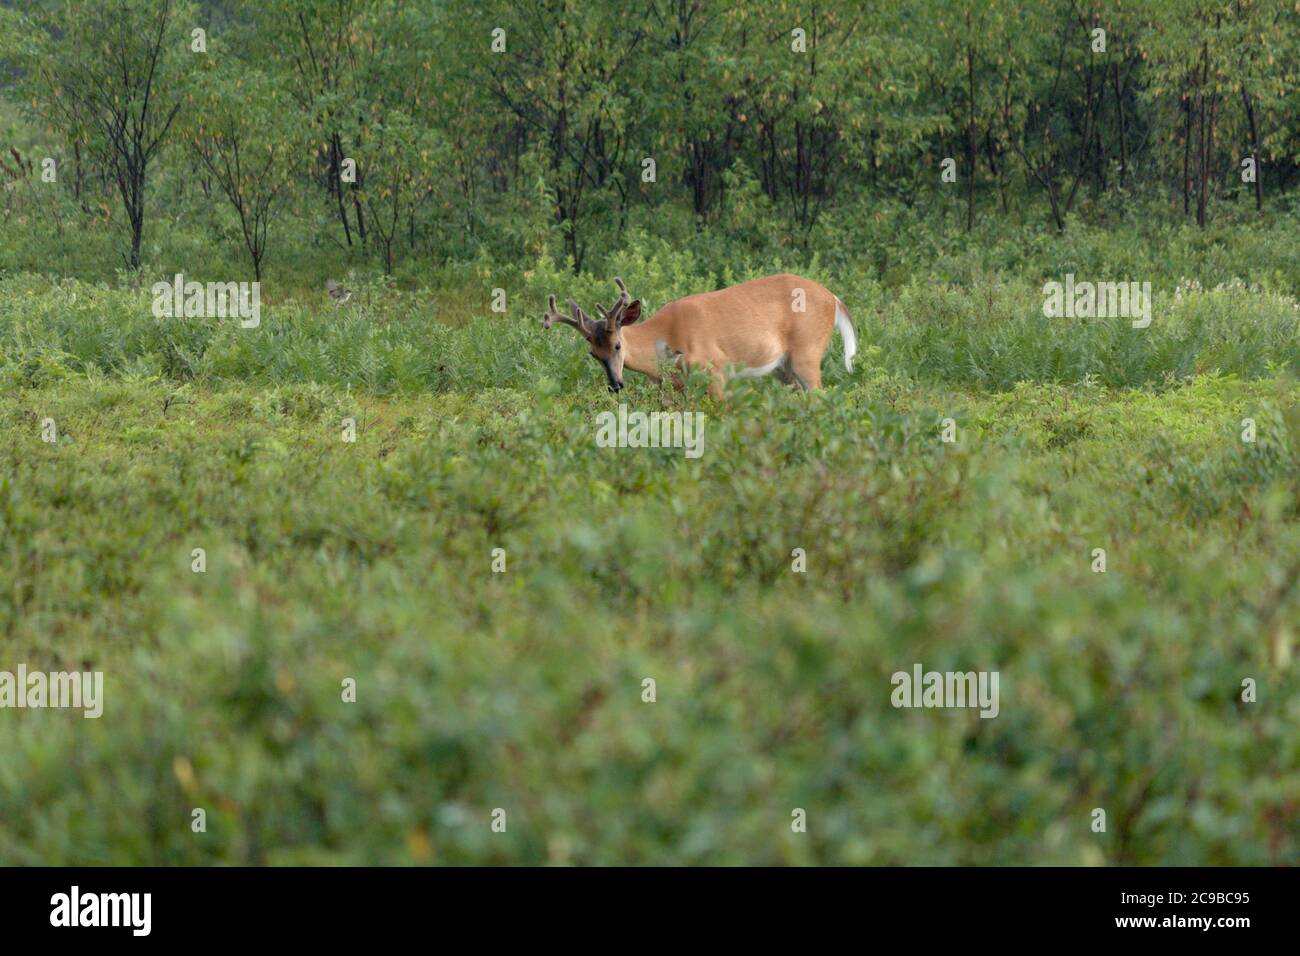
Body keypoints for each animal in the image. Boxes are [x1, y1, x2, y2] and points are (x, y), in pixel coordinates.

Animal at [542, 274, 856, 400]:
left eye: (618, 345)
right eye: (593, 353)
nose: (616, 385)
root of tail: (834, 299)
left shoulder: (716, 368)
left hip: (807, 352)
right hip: (783, 367)